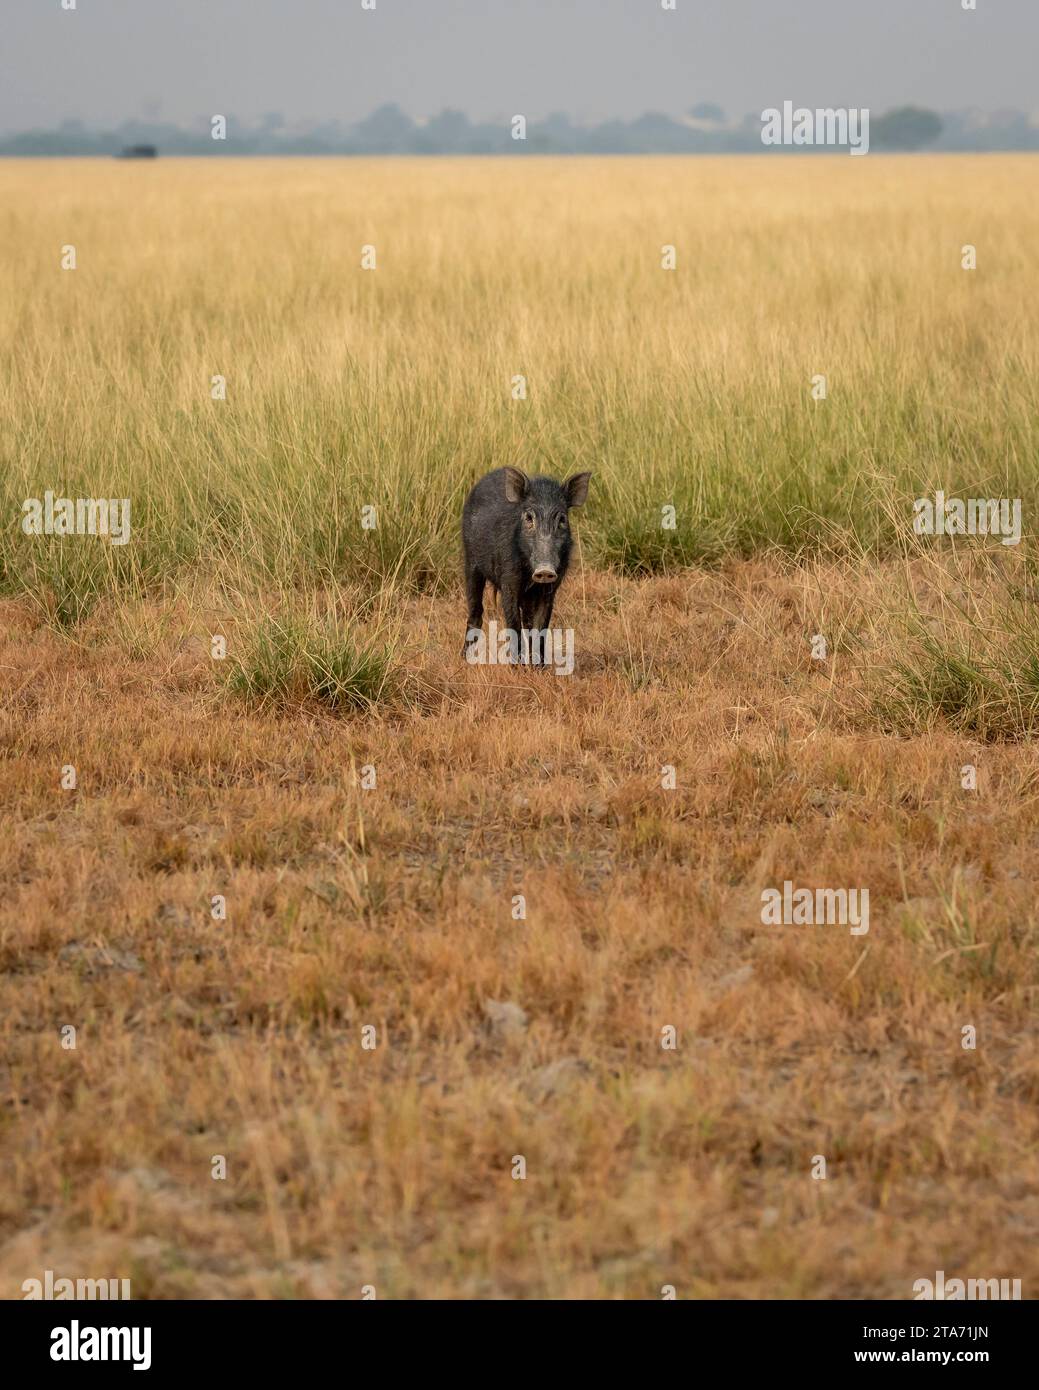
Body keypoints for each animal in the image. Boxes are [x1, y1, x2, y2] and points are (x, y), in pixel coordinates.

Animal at [462, 466, 592, 663]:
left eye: (562, 519)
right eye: (529, 518)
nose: (545, 569)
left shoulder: (550, 588)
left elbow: (540, 627)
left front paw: (539, 667)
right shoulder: (508, 581)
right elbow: (513, 625)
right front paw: (516, 667)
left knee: (528, 623)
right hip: (470, 562)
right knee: (476, 611)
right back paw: (463, 658)